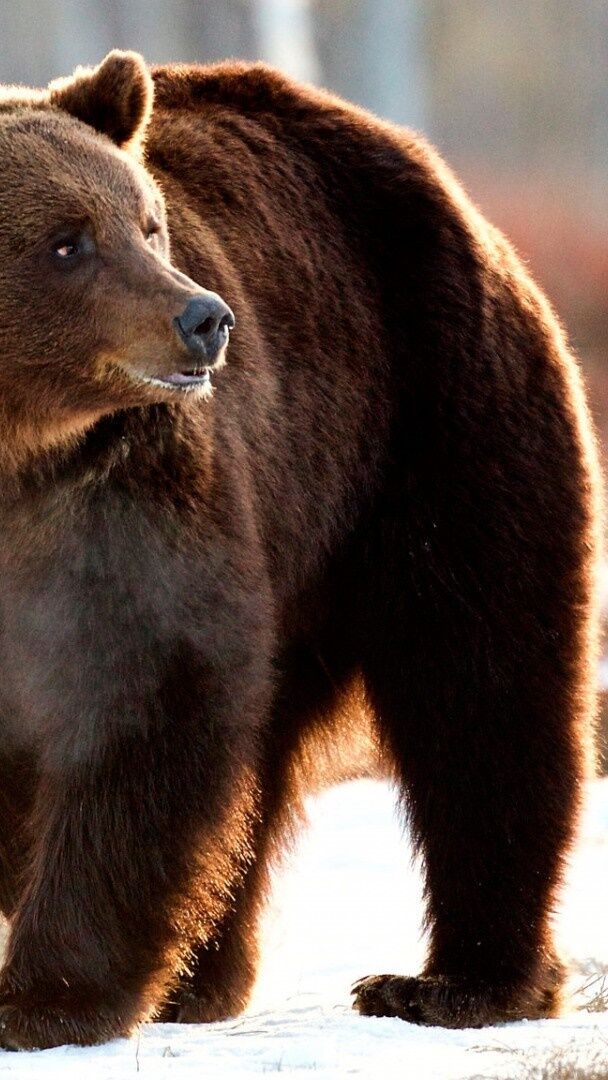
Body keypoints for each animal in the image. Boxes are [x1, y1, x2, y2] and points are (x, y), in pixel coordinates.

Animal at [0, 50, 601, 1050]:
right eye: (66, 243)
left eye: (148, 224)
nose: (204, 318)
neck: (14, 460)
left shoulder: (130, 508)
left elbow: (148, 699)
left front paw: (48, 996)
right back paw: (204, 979)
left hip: (433, 431)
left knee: (483, 691)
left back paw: (454, 982)